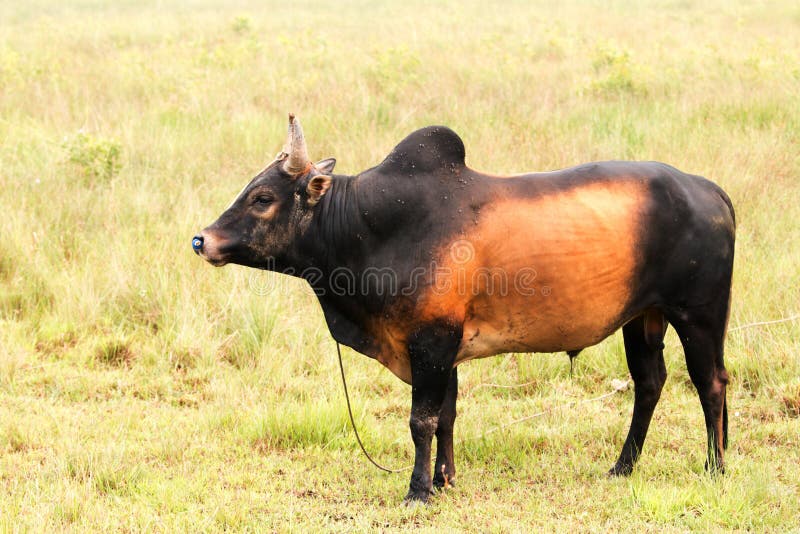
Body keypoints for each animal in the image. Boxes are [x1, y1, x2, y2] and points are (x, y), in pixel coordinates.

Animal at [193, 114, 735, 503]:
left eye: (263, 197)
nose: (203, 240)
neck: (368, 225)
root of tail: (708, 188)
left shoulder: (430, 342)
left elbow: (421, 421)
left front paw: (418, 491)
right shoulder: (442, 347)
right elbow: (447, 416)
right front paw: (444, 480)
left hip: (698, 315)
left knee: (710, 383)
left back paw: (714, 467)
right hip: (642, 319)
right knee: (650, 384)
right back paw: (622, 467)